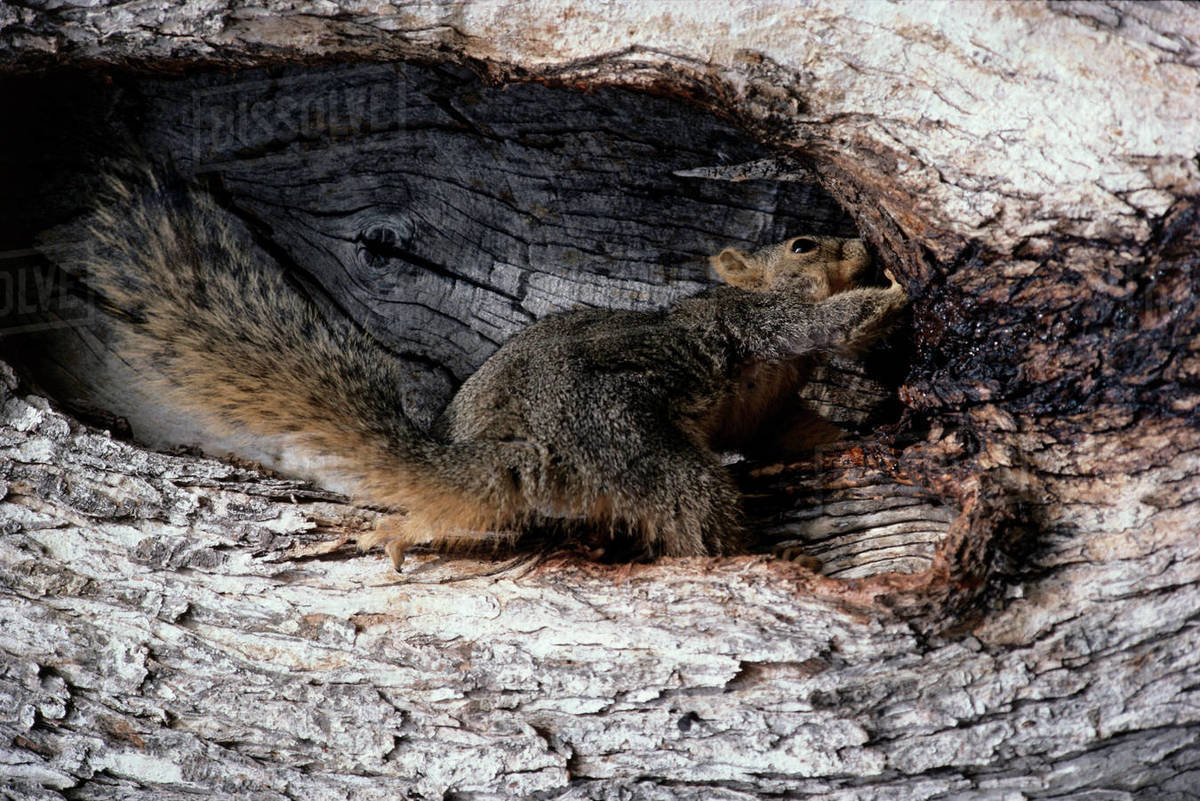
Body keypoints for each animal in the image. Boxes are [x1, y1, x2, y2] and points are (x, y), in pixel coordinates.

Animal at [75, 171, 908, 562]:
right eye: (802, 244)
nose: (866, 245)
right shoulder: (751, 324)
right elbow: (811, 322)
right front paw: (893, 292)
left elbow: (790, 427)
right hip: (624, 443)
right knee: (696, 512)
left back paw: (406, 527)